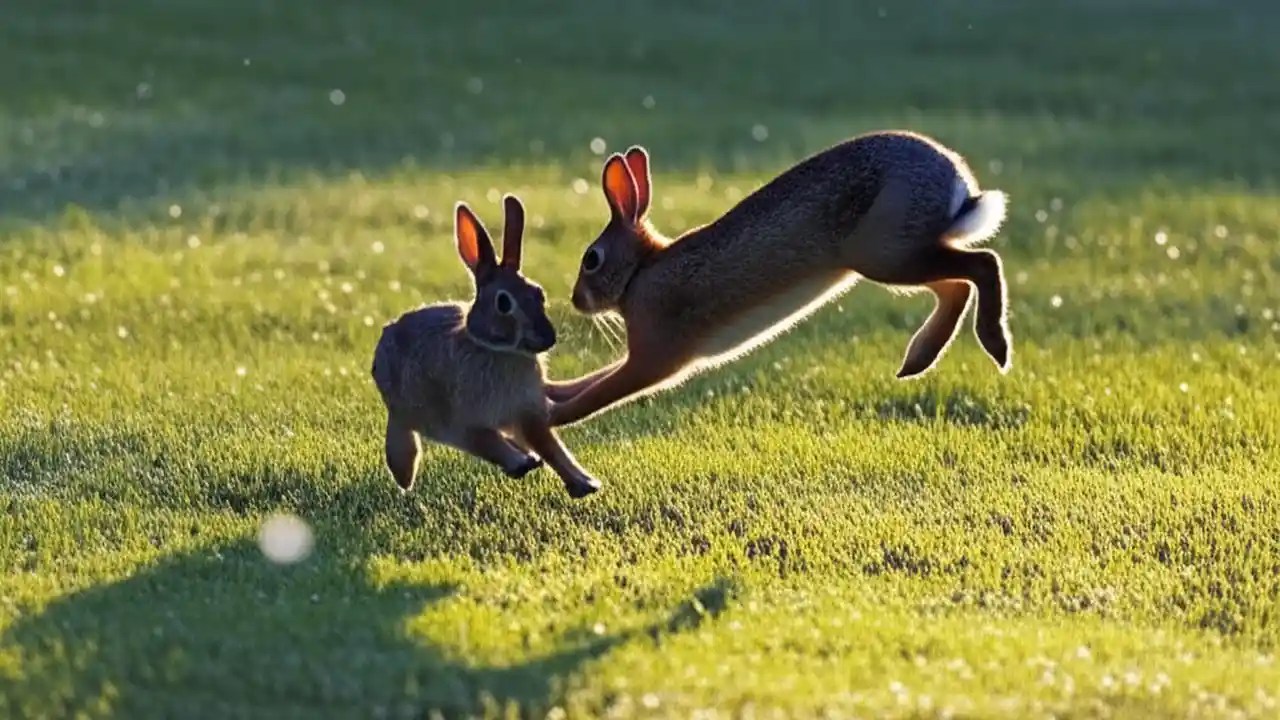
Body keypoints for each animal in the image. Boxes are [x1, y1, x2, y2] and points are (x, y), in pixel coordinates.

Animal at [371, 194, 601, 498]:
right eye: (503, 303)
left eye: (539, 293)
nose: (547, 339)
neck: (497, 350)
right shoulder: (464, 424)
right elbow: (489, 443)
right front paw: (522, 464)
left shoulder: (527, 412)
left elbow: (552, 449)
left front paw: (585, 483)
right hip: (404, 411)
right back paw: (405, 477)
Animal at [545, 130, 1011, 427]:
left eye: (591, 259)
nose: (576, 300)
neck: (640, 272)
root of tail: (957, 187)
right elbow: (591, 381)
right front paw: (553, 389)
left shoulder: (656, 356)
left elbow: (599, 393)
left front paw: (551, 417)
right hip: (898, 257)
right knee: (956, 284)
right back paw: (919, 358)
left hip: (885, 255)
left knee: (983, 265)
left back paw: (994, 344)